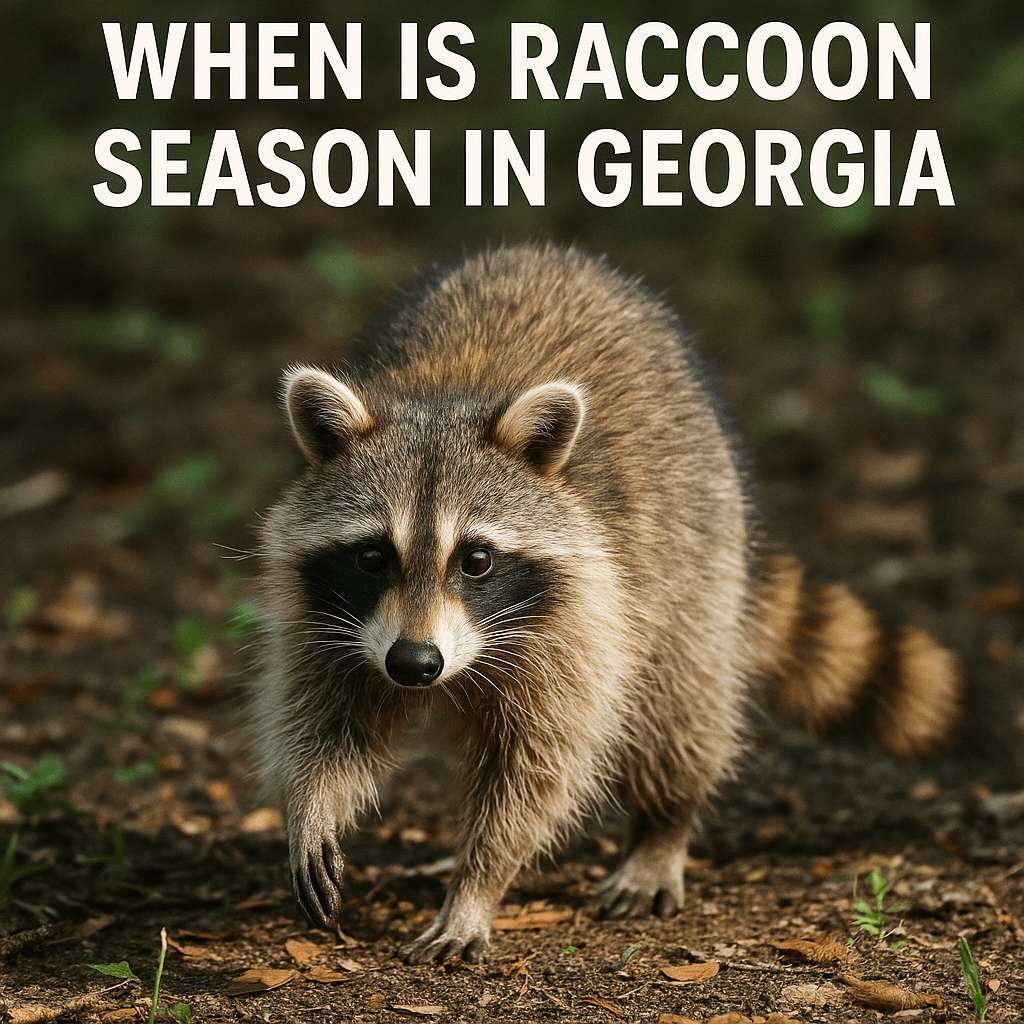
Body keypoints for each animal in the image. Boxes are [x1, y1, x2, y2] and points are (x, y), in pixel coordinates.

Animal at [251, 243, 961, 964]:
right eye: (372, 557)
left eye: (476, 560)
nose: (415, 665)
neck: (445, 399)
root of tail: (547, 252)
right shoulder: (331, 614)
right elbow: (324, 715)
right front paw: (311, 803)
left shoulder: (585, 611)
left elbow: (538, 767)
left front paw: (479, 881)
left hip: (695, 552)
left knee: (679, 706)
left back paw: (663, 824)